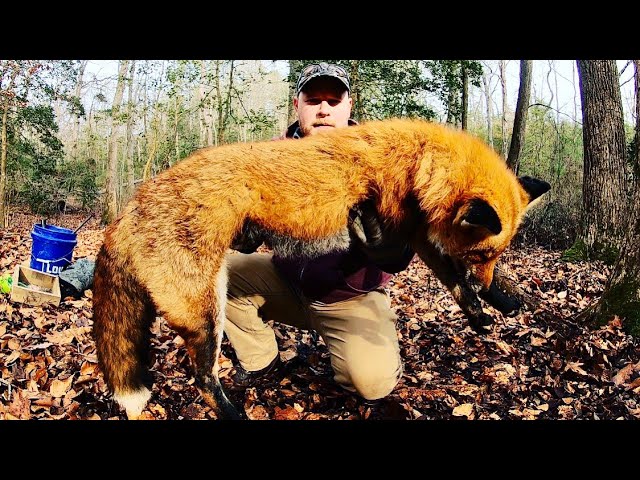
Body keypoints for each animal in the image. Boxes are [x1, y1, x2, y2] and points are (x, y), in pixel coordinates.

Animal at [92, 117, 550, 420]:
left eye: (497, 255)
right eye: (480, 255)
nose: (487, 281)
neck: (420, 161)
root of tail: (129, 209)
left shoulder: (418, 233)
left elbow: (456, 285)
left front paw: (494, 305)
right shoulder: (393, 226)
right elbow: (396, 258)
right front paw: (490, 301)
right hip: (205, 314)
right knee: (202, 379)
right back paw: (232, 413)